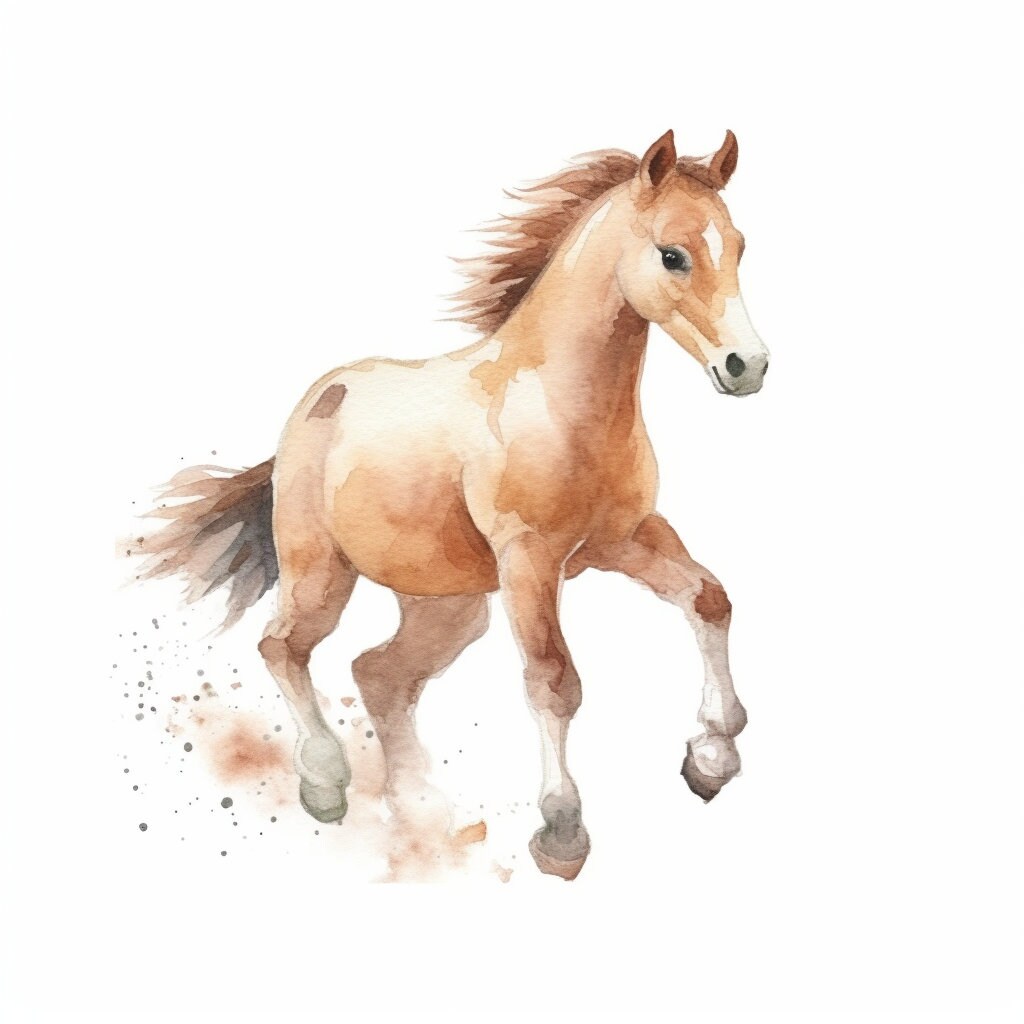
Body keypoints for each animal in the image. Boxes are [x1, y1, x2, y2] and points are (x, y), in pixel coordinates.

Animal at [133, 129, 769, 880]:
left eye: (738, 246)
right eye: (672, 254)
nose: (747, 367)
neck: (556, 401)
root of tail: (317, 404)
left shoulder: (626, 539)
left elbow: (709, 598)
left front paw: (710, 758)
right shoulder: (530, 560)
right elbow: (554, 680)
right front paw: (561, 833)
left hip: (450, 605)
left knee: (379, 674)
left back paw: (421, 806)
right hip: (321, 573)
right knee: (283, 646)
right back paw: (326, 783)